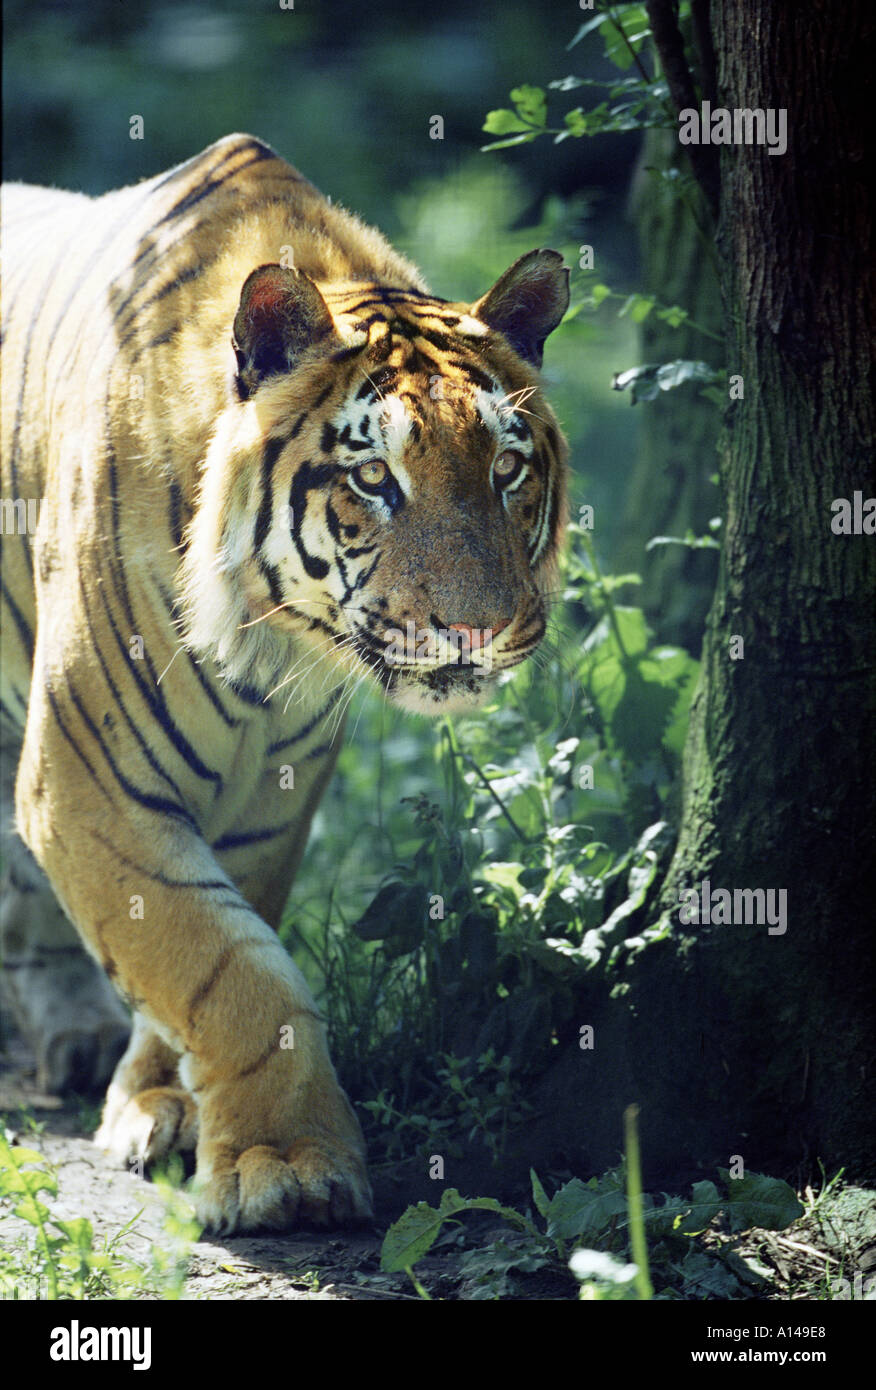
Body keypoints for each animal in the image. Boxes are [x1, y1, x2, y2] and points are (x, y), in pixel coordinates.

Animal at [0, 134, 569, 1233]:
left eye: (506, 469)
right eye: (374, 478)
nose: (477, 626)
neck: (272, 643)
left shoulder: (271, 792)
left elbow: (216, 944)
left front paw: (162, 1100)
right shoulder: (88, 784)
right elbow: (226, 970)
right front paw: (288, 1169)